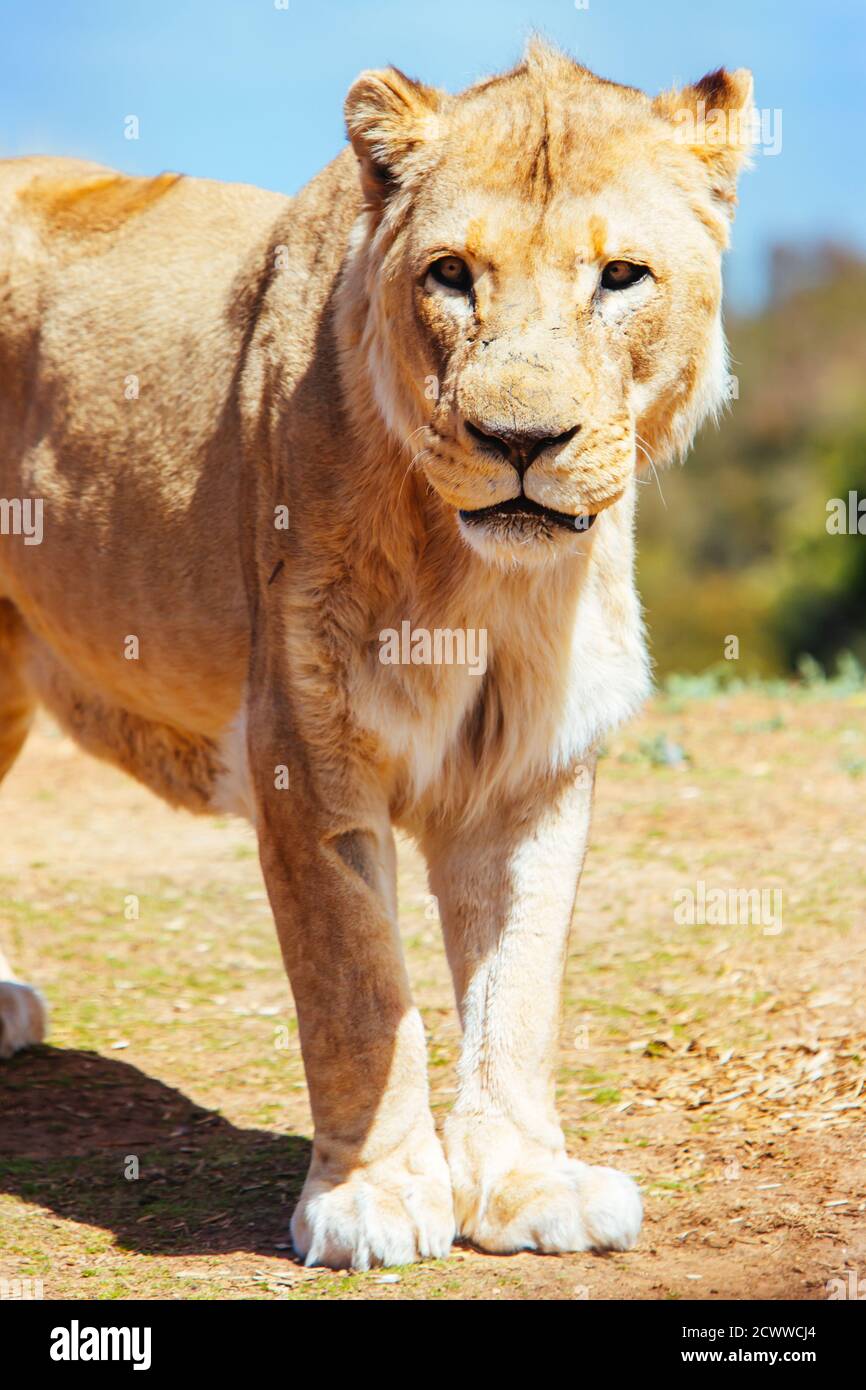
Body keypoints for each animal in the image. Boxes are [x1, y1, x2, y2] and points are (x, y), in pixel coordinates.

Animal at [0, 40, 752, 1268]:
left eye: (619, 277)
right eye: (449, 274)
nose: (518, 440)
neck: (487, 582)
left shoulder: (533, 767)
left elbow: (518, 989)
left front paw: (524, 1182)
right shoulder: (306, 742)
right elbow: (358, 992)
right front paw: (375, 1194)